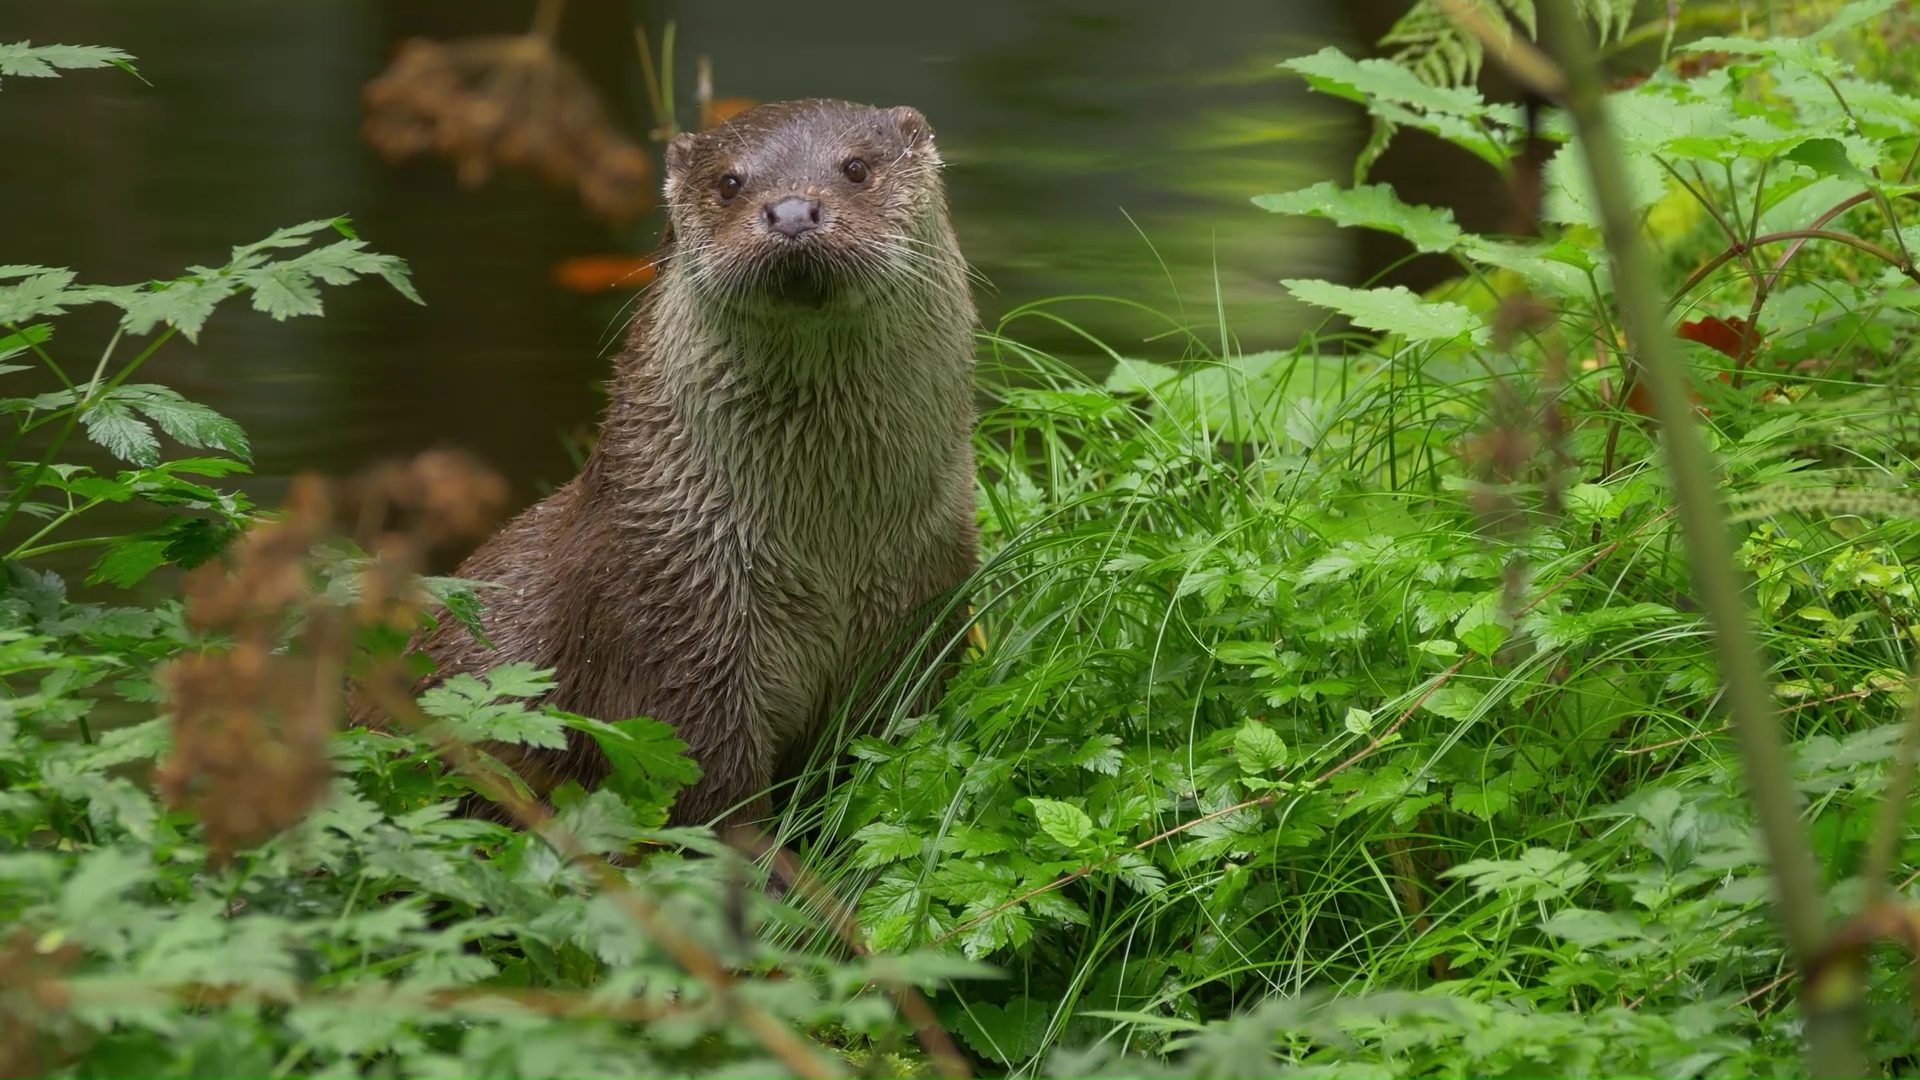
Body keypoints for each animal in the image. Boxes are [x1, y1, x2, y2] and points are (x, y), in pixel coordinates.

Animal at [378, 99, 979, 828]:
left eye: (857, 168)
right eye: (729, 182)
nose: (792, 212)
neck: (828, 550)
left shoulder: (924, 598)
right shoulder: (678, 620)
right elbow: (706, 789)